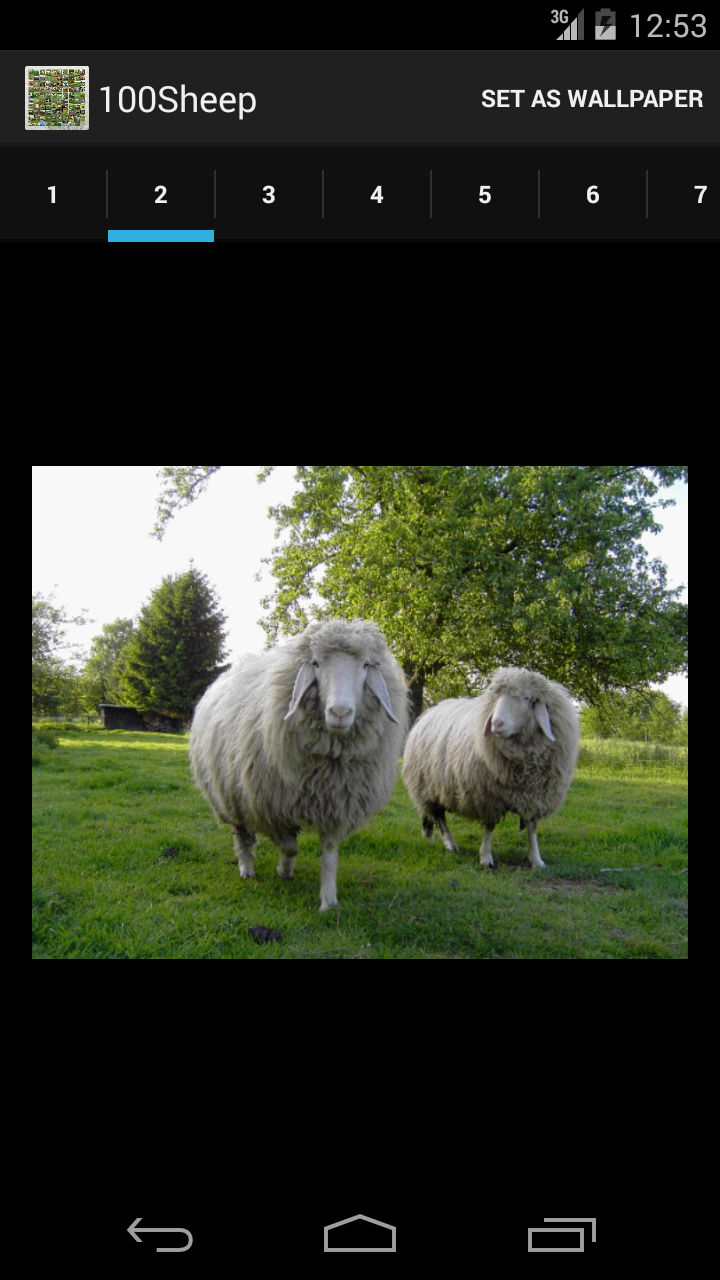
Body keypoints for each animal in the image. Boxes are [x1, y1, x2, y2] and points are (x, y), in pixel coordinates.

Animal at [189, 619, 408, 911]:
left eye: (365, 665)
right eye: (315, 664)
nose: (340, 713)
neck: (330, 762)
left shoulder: (336, 802)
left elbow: (329, 852)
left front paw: (328, 899)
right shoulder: (273, 805)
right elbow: (290, 847)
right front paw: (284, 871)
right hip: (231, 794)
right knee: (242, 834)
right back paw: (246, 868)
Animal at [402, 666, 579, 870]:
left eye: (527, 698)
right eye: (496, 697)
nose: (496, 723)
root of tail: (431, 711)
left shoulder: (535, 796)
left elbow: (531, 828)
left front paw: (536, 859)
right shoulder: (487, 795)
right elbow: (489, 827)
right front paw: (486, 857)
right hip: (427, 787)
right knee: (440, 818)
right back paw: (451, 844)